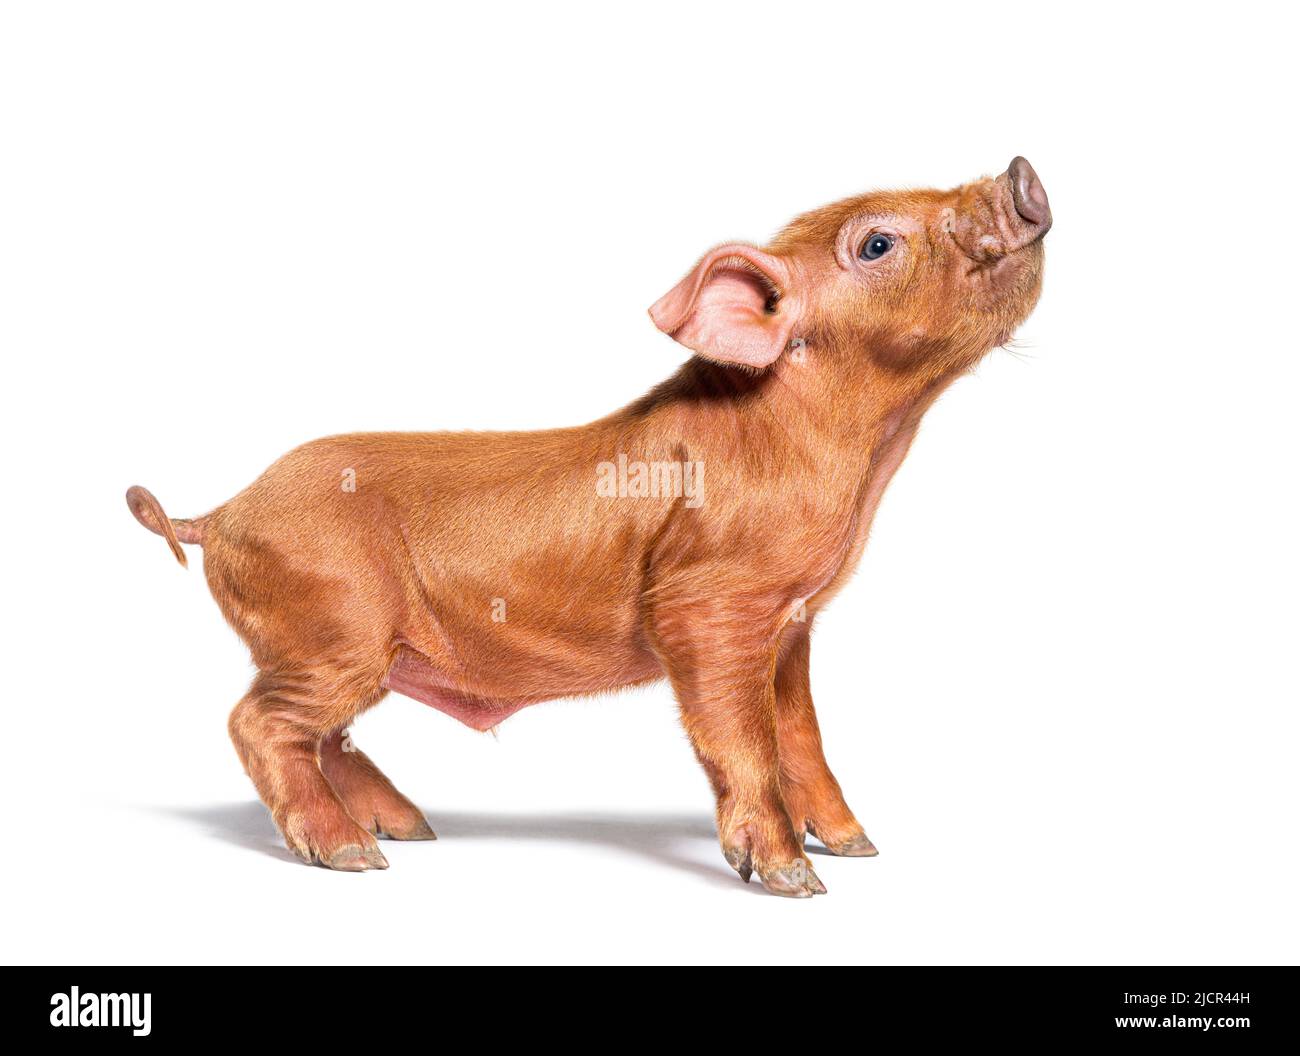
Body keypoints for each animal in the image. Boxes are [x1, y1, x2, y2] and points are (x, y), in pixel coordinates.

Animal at [128, 157, 1051, 896]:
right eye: (877, 246)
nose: (1020, 171)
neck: (861, 452)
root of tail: (223, 512)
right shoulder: (706, 605)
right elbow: (741, 738)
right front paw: (797, 881)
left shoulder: (792, 621)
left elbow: (801, 732)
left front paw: (861, 849)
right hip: (331, 628)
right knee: (260, 724)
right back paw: (358, 857)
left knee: (325, 735)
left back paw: (411, 830)